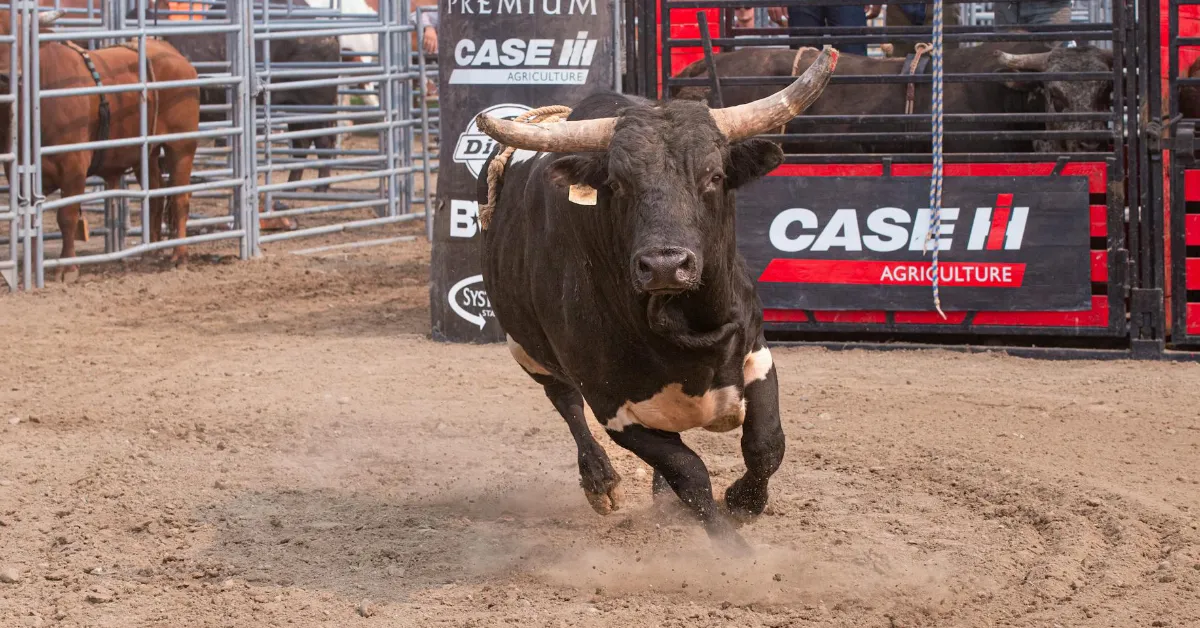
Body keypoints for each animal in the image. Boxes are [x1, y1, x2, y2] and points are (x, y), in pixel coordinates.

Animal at [0, 10, 201, 276]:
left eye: (24, 39)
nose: (8, 76)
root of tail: (176, 56)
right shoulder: (19, 173)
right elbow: (30, 219)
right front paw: (32, 268)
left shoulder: (74, 165)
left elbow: (67, 216)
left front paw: (68, 267)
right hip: (145, 155)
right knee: (156, 196)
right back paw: (151, 251)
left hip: (181, 146)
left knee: (180, 198)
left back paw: (180, 256)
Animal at [471, 46, 838, 553]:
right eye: (618, 183)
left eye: (714, 176)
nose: (665, 264)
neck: (682, 326)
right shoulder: (612, 404)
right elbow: (689, 473)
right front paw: (734, 551)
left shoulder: (756, 354)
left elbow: (766, 444)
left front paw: (744, 502)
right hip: (524, 347)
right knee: (564, 401)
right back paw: (600, 481)